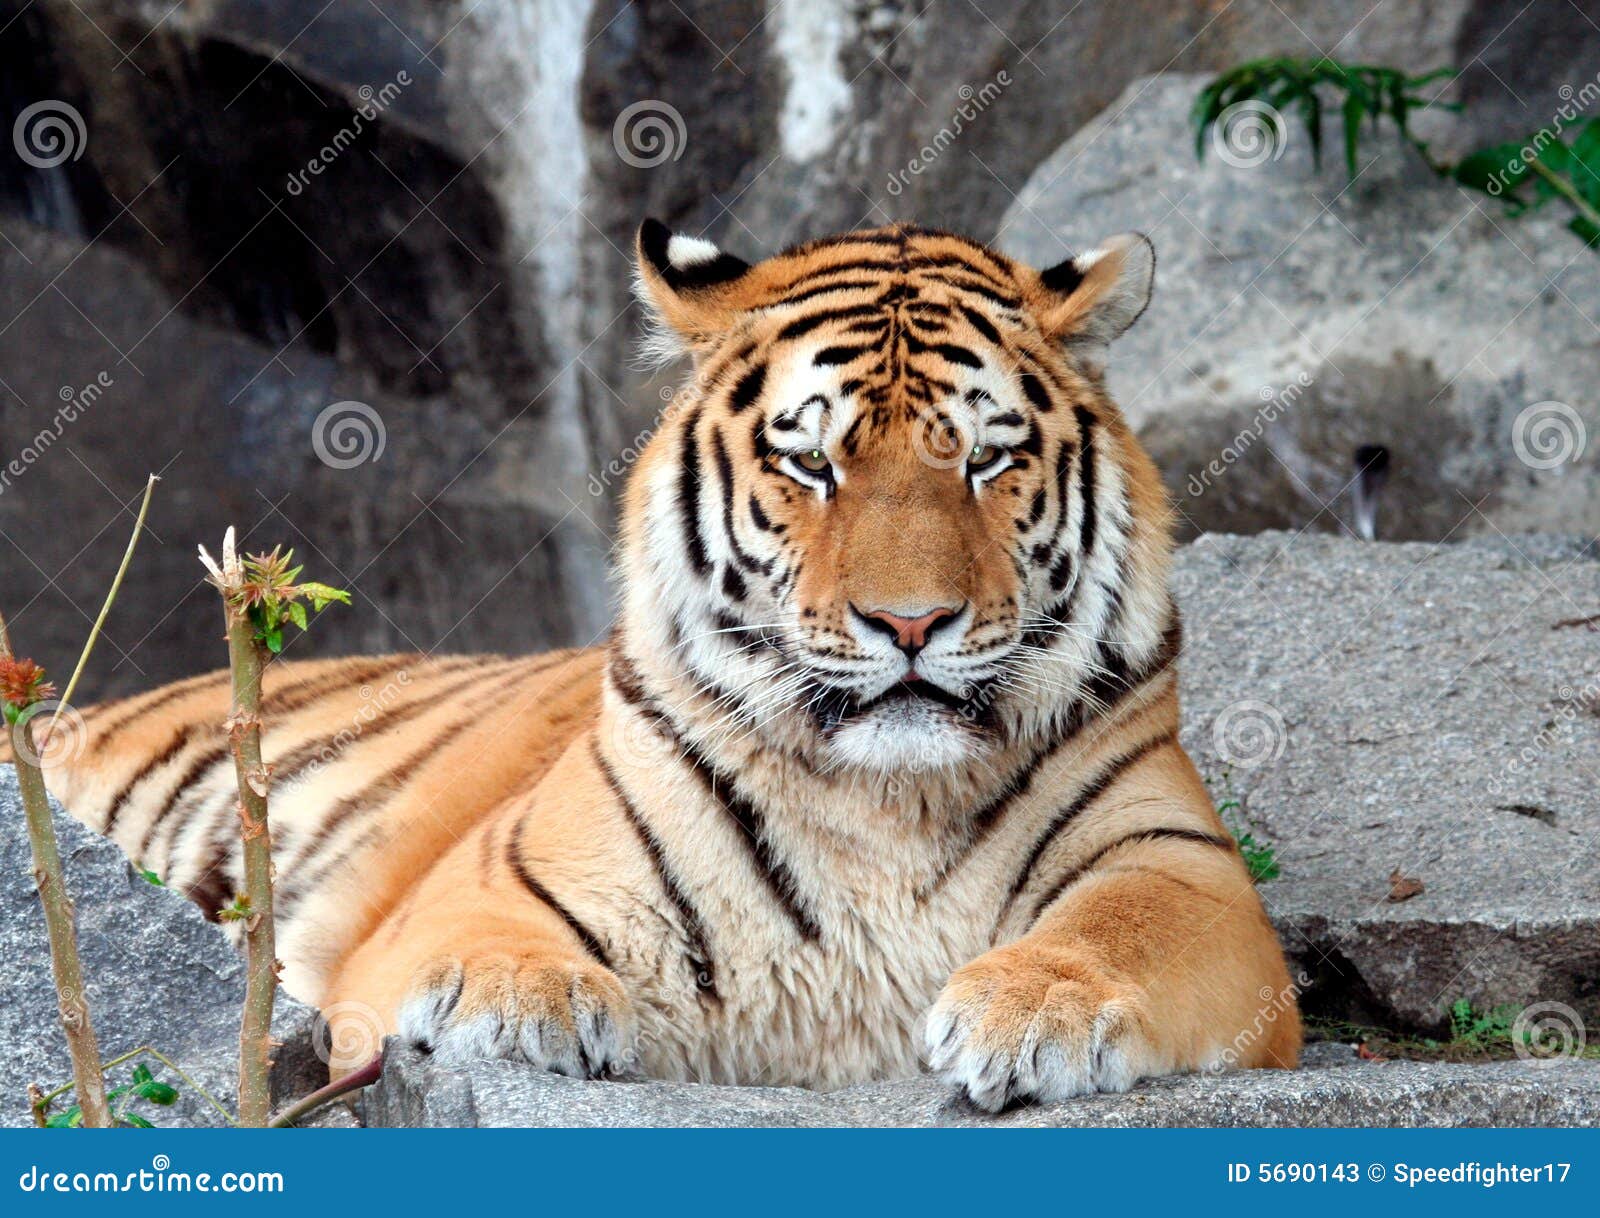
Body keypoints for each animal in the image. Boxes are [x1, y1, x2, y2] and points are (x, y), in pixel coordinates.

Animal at [41, 217, 1299, 1111]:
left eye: (987, 459)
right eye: (811, 461)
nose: (910, 624)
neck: (887, 801)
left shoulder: (1188, 873)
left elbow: (1120, 925)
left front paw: (1035, 1010)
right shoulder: (491, 882)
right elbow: (485, 939)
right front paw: (521, 1000)